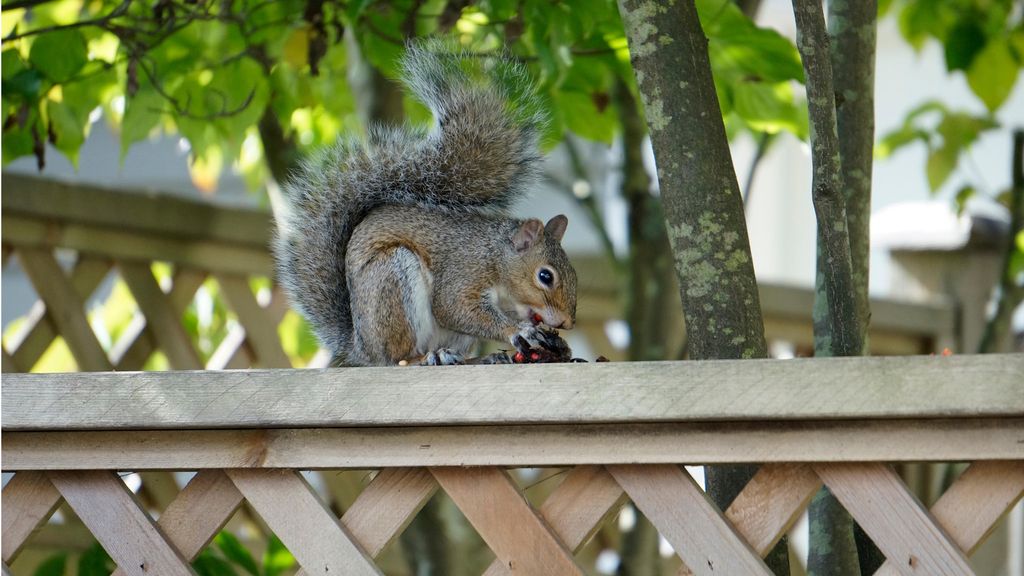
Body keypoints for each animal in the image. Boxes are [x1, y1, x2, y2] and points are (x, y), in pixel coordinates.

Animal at [273, 44, 578, 367]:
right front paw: (519, 331)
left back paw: (475, 357)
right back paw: (424, 357)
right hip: (393, 280)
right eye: (545, 276)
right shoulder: (464, 271)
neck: (496, 257)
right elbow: (454, 307)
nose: (567, 323)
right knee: (399, 358)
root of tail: (362, 347)